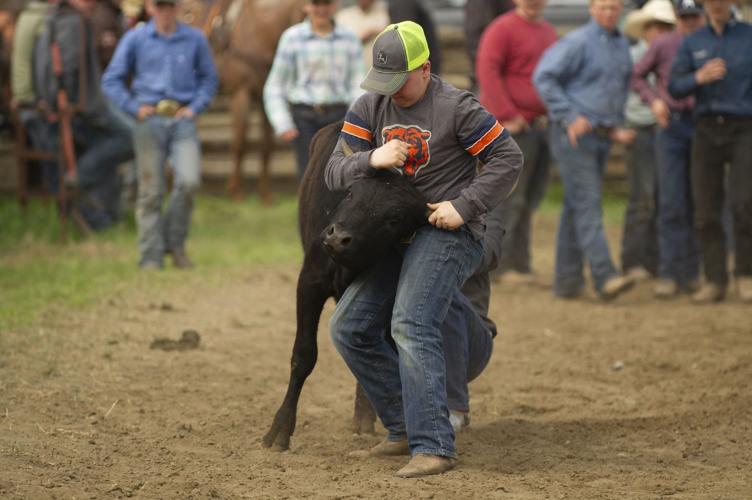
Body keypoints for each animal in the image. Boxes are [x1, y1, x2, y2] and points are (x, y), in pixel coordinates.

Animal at [262, 120, 428, 451]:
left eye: (395, 217)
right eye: (351, 193)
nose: (338, 237)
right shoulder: (309, 281)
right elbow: (304, 354)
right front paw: (280, 430)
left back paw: (364, 417)